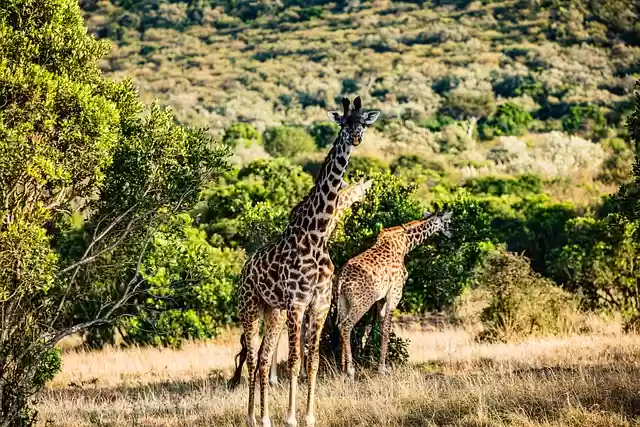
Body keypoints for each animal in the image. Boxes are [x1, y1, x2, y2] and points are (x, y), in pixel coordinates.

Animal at [335, 210, 453, 379]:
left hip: (343, 301)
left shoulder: (381, 299)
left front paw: (379, 364)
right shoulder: (395, 293)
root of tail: (341, 278)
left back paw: (342, 370)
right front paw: (382, 369)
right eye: (448, 222)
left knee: (339, 325)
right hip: (362, 302)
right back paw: (350, 371)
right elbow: (386, 329)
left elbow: (379, 329)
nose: (451, 233)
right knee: (345, 325)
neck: (406, 244)